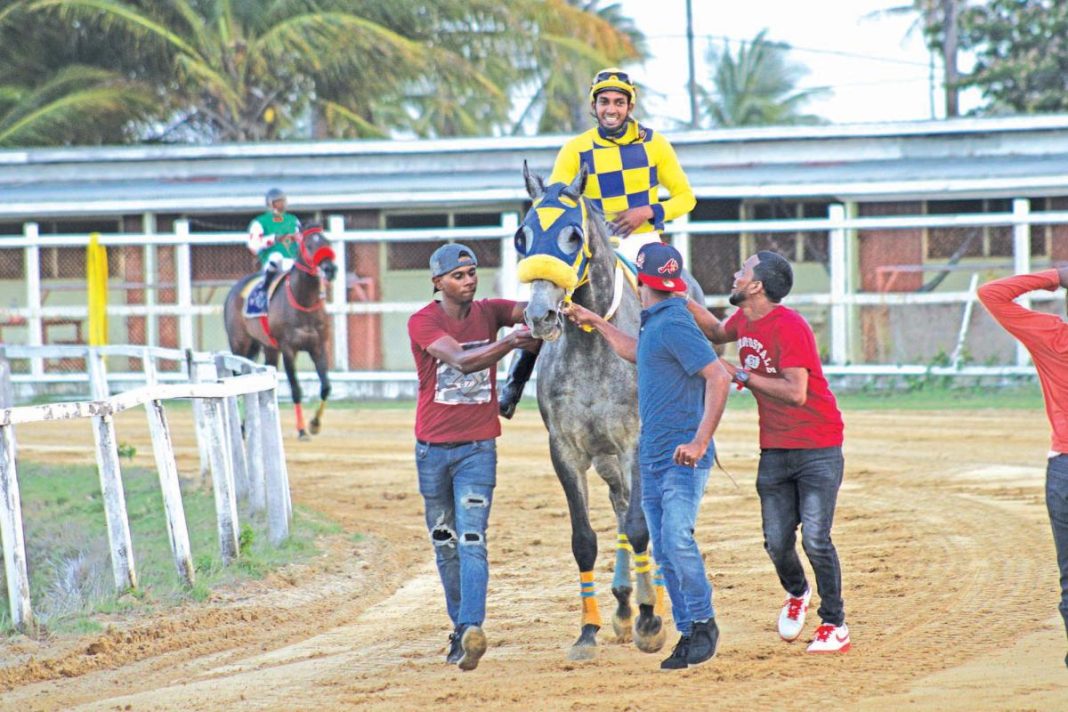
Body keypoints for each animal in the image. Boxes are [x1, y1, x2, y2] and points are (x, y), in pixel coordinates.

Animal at [224, 224, 338, 440]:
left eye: (327, 241)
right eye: (309, 245)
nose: (330, 269)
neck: (304, 302)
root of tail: (235, 289)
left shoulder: (319, 346)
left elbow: (326, 387)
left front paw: (314, 424)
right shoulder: (288, 349)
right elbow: (295, 389)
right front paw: (301, 430)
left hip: (268, 348)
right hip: (240, 344)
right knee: (238, 379)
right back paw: (242, 427)